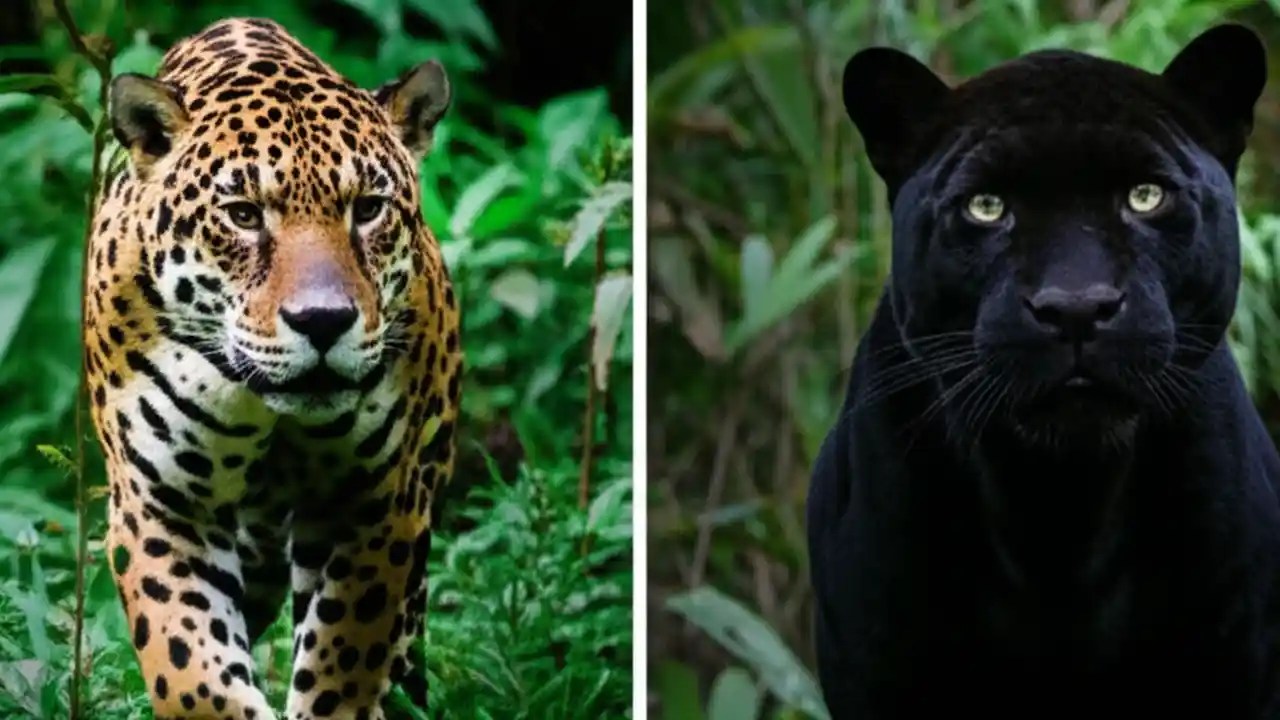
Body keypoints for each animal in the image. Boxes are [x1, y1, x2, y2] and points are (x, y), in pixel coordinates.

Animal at [83, 16, 460, 720]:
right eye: (243, 215)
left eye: (367, 208)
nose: (323, 321)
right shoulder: (162, 504)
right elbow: (192, 674)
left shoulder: (376, 502)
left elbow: (345, 659)